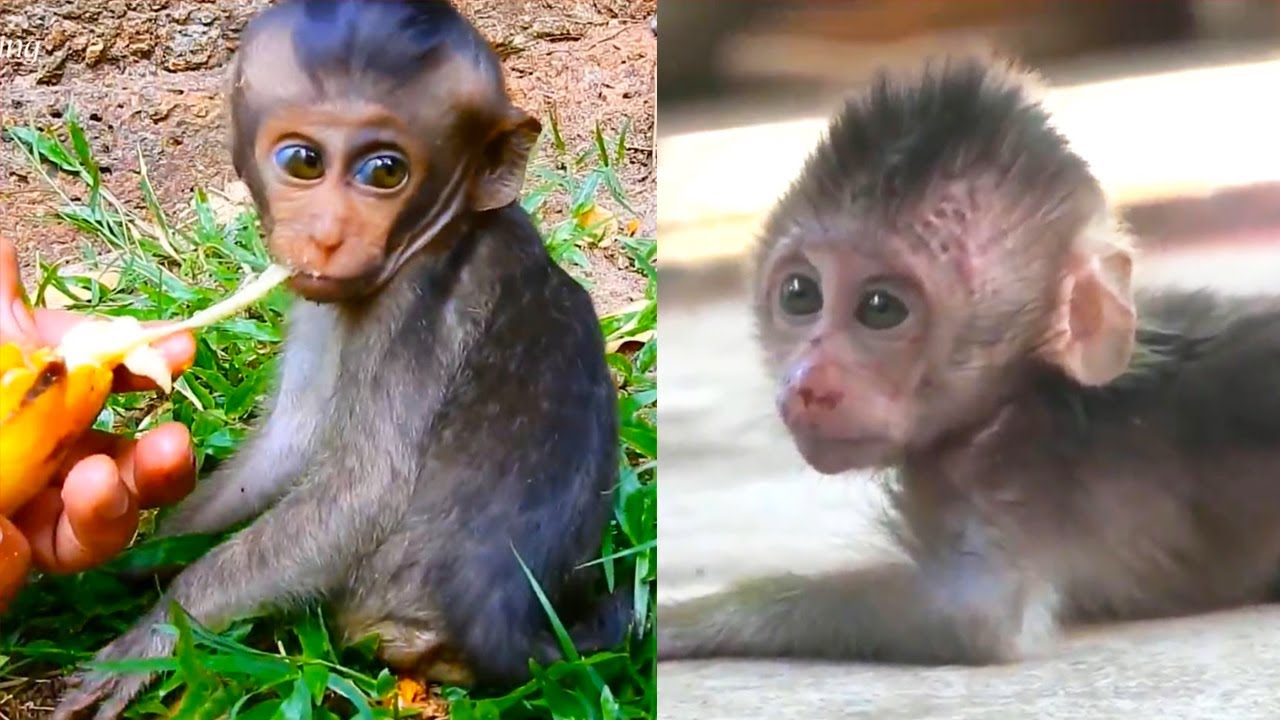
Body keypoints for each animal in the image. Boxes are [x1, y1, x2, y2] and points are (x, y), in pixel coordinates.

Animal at [53, 2, 628, 717]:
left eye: (384, 173)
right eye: (302, 161)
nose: (326, 235)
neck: (435, 236)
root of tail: (511, 631)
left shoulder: (413, 310)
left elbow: (362, 494)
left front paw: (157, 632)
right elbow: (291, 442)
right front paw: (138, 559)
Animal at [657, 56, 1280, 667]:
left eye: (881, 309)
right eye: (799, 295)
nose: (810, 384)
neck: (1022, 394)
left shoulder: (1011, 471)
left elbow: (970, 620)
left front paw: (683, 618)